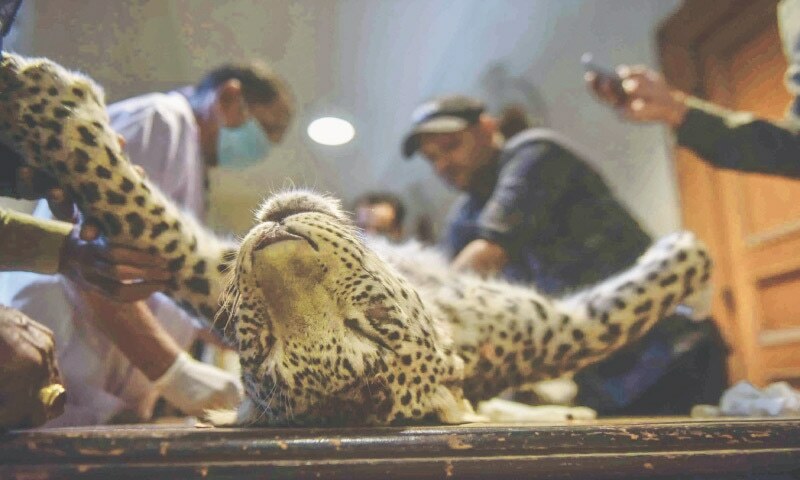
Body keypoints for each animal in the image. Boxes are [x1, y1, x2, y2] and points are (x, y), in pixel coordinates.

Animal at [0, 52, 713, 426]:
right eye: (257, 344)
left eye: (373, 322)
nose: (277, 238)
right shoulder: (212, 271)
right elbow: (139, 217)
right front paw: (45, 102)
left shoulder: (558, 328)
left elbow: (634, 305)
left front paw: (684, 249)